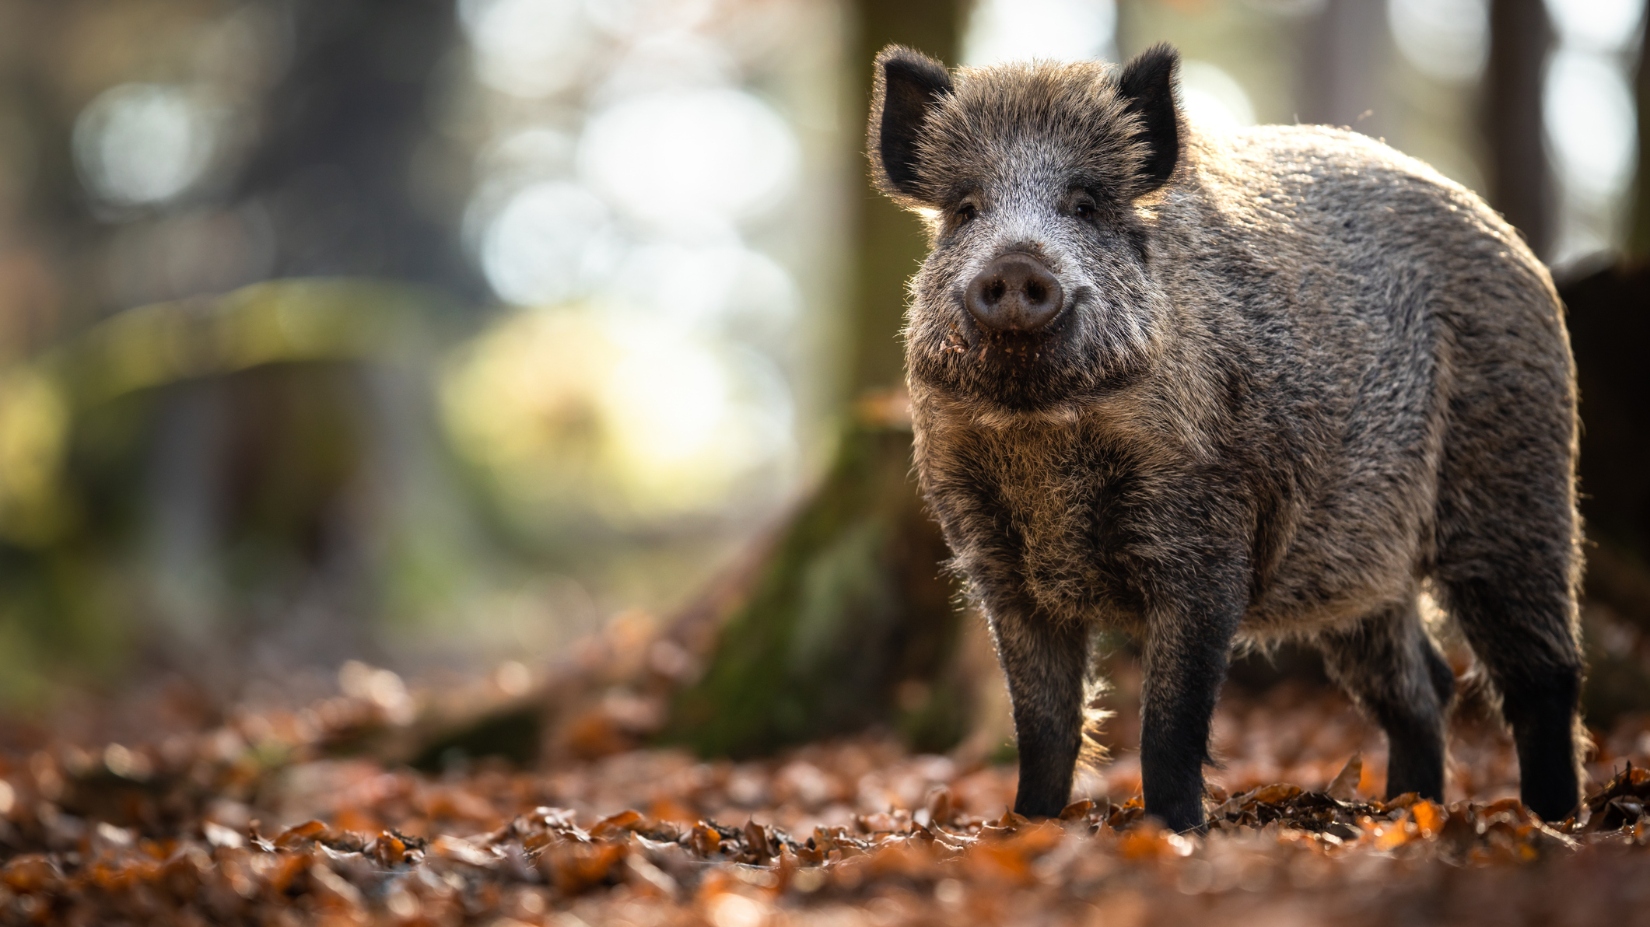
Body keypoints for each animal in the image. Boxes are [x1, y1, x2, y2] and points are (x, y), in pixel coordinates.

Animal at [867, 43, 1585, 833]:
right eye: (965, 210)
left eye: (1085, 205)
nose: (1017, 264)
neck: (1043, 436)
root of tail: (1516, 247)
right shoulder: (995, 561)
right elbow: (1044, 725)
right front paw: (1031, 828)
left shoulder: (1206, 535)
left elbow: (1170, 721)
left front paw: (1175, 833)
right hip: (1357, 565)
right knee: (1422, 684)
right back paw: (1406, 811)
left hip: (1518, 480)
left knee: (1541, 674)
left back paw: (1553, 822)